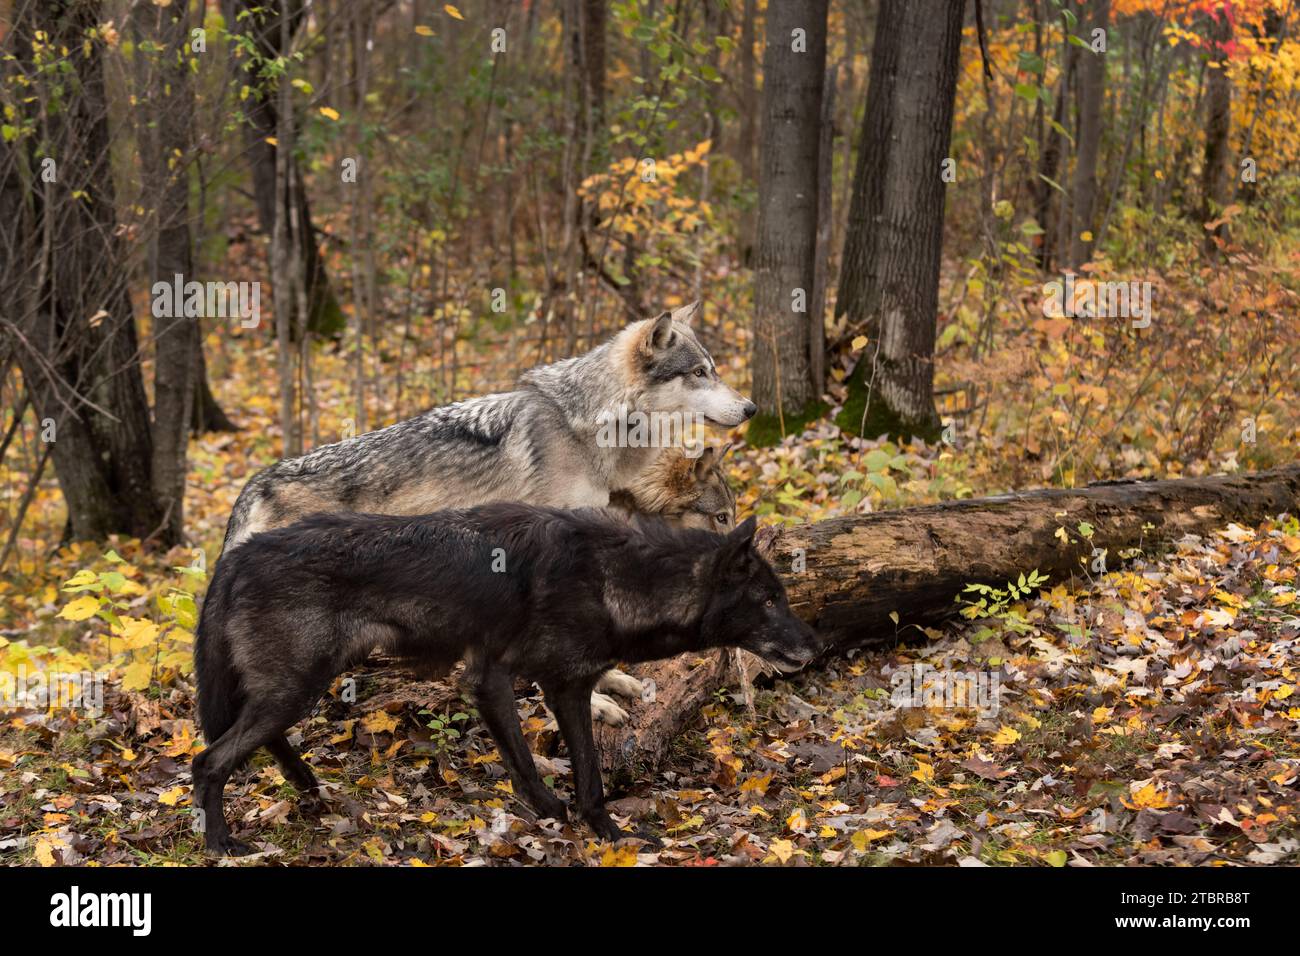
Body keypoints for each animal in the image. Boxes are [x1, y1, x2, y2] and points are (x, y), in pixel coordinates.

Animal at [193, 506, 820, 854]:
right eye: (769, 600)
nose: (816, 645)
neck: (612, 580)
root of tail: (236, 555)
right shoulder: (497, 679)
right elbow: (538, 763)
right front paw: (558, 815)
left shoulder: (562, 686)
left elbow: (588, 775)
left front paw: (608, 833)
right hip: (297, 686)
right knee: (209, 760)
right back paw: (220, 841)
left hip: (297, 686)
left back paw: (308, 787)